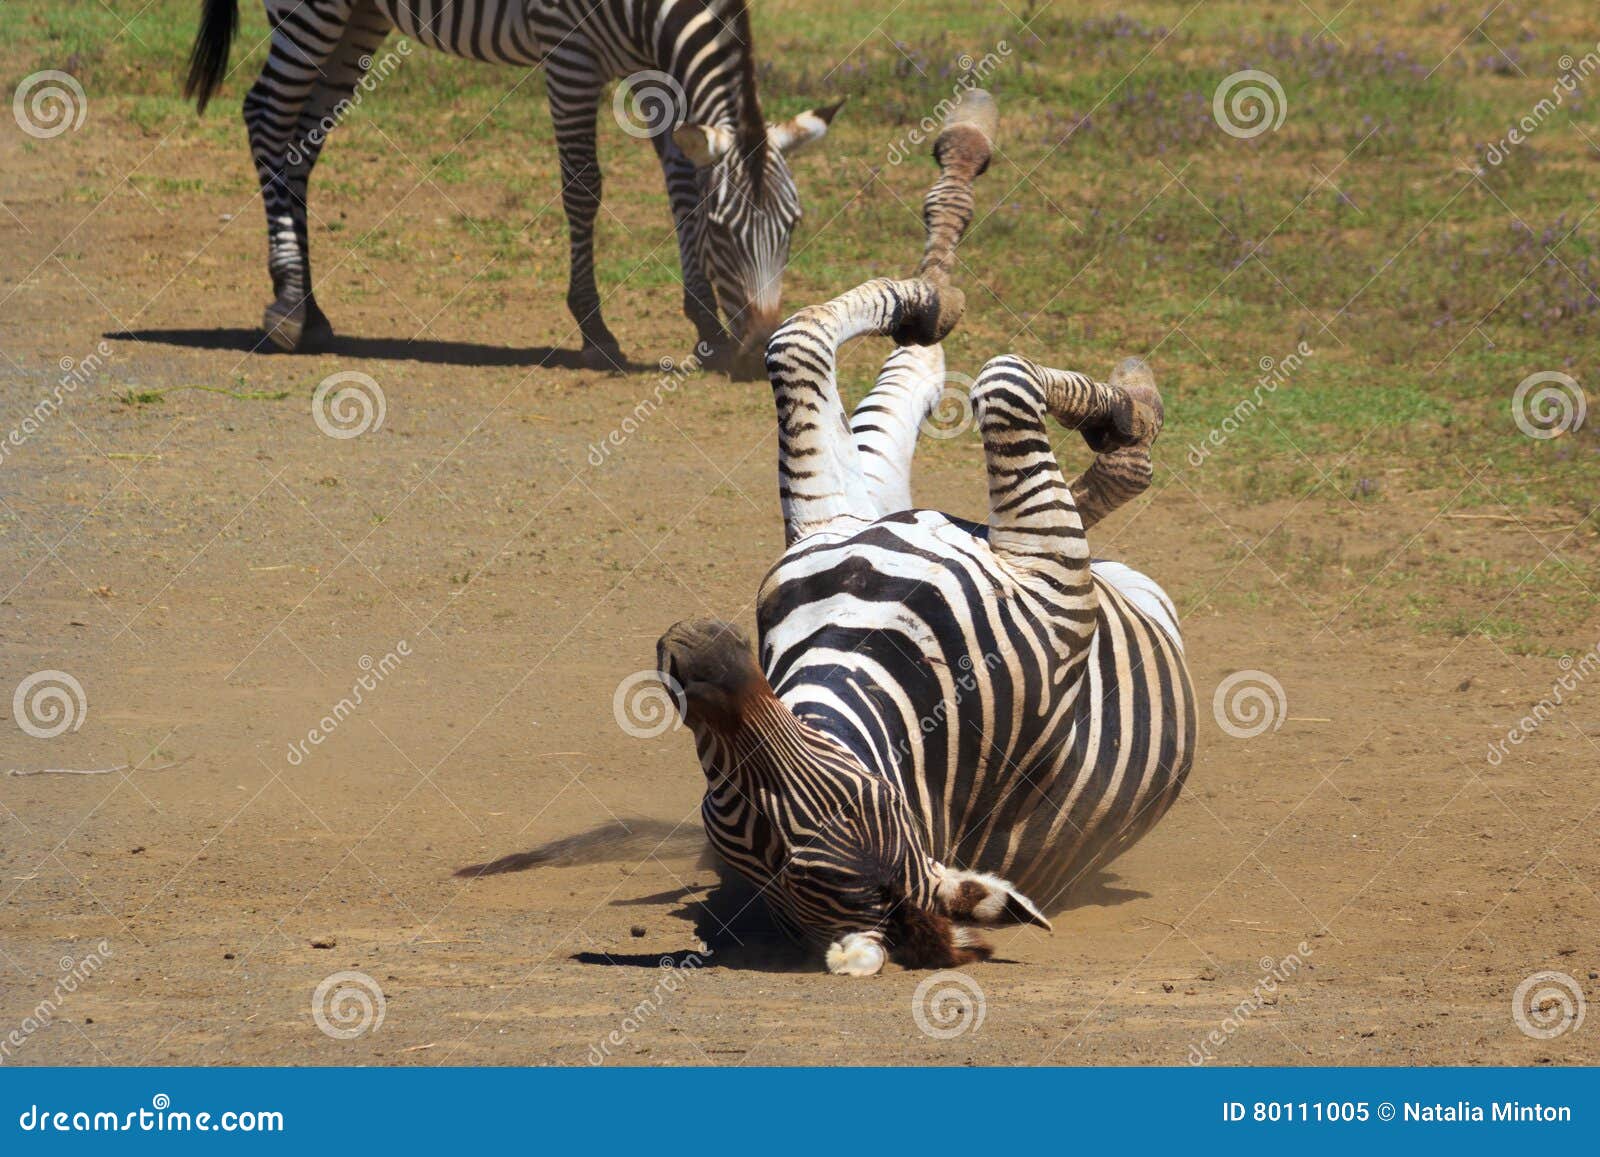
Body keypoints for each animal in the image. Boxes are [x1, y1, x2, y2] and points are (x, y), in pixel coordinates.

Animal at [181, 0, 840, 375]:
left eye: (794, 226)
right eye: (725, 232)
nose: (760, 346)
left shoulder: (655, 67)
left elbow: (681, 181)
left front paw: (707, 327)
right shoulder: (571, 56)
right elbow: (583, 186)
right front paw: (595, 329)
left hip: (358, 19)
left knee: (301, 142)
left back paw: (311, 309)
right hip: (310, 11)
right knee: (266, 116)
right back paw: (287, 308)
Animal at [655, 91, 1195, 975]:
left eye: (842, 791)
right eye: (733, 791)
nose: (692, 649)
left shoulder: (830, 520)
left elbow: (800, 338)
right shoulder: (1048, 577)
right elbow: (997, 380)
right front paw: (1127, 412)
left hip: (875, 501)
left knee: (913, 365)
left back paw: (959, 174)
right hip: (919, 507)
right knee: (1017, 433)